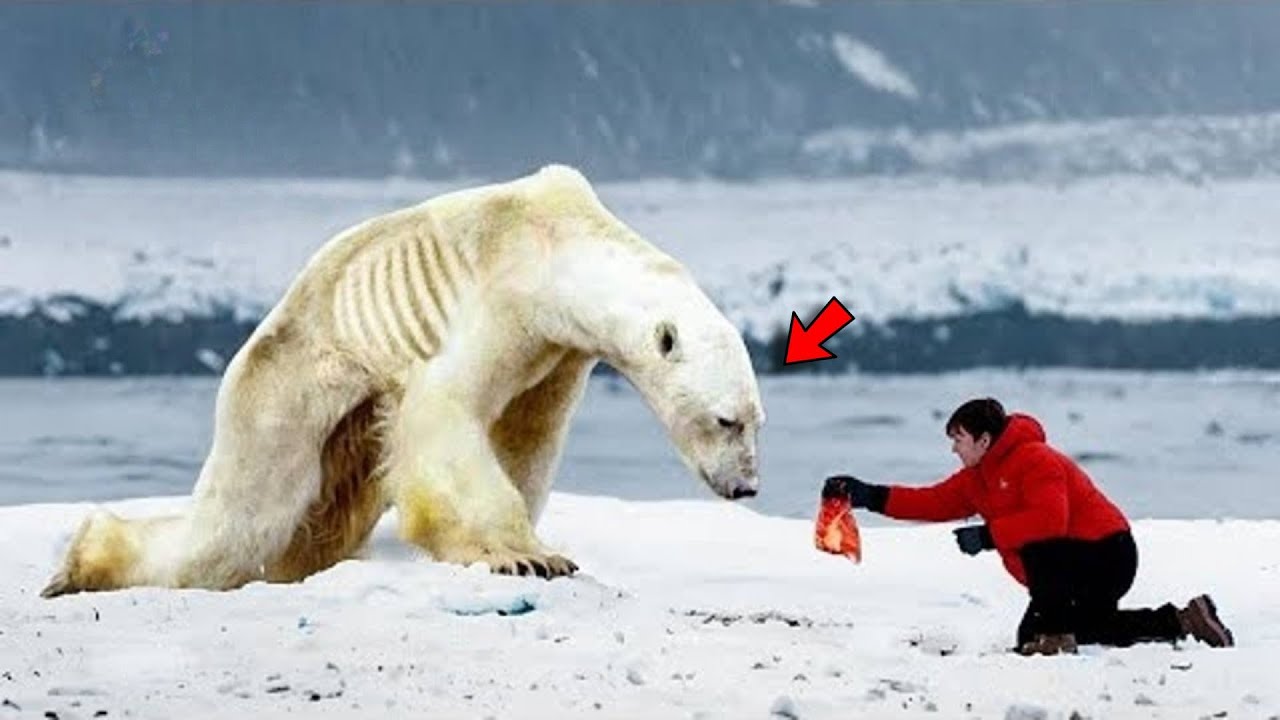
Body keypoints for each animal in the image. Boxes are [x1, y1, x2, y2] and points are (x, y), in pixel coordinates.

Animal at [42, 164, 765, 596]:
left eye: (756, 422)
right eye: (725, 420)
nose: (745, 486)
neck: (561, 242)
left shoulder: (557, 355)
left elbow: (525, 438)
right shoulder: (503, 299)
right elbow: (446, 412)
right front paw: (524, 555)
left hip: (353, 419)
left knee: (309, 516)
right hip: (290, 385)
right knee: (244, 519)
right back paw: (78, 564)